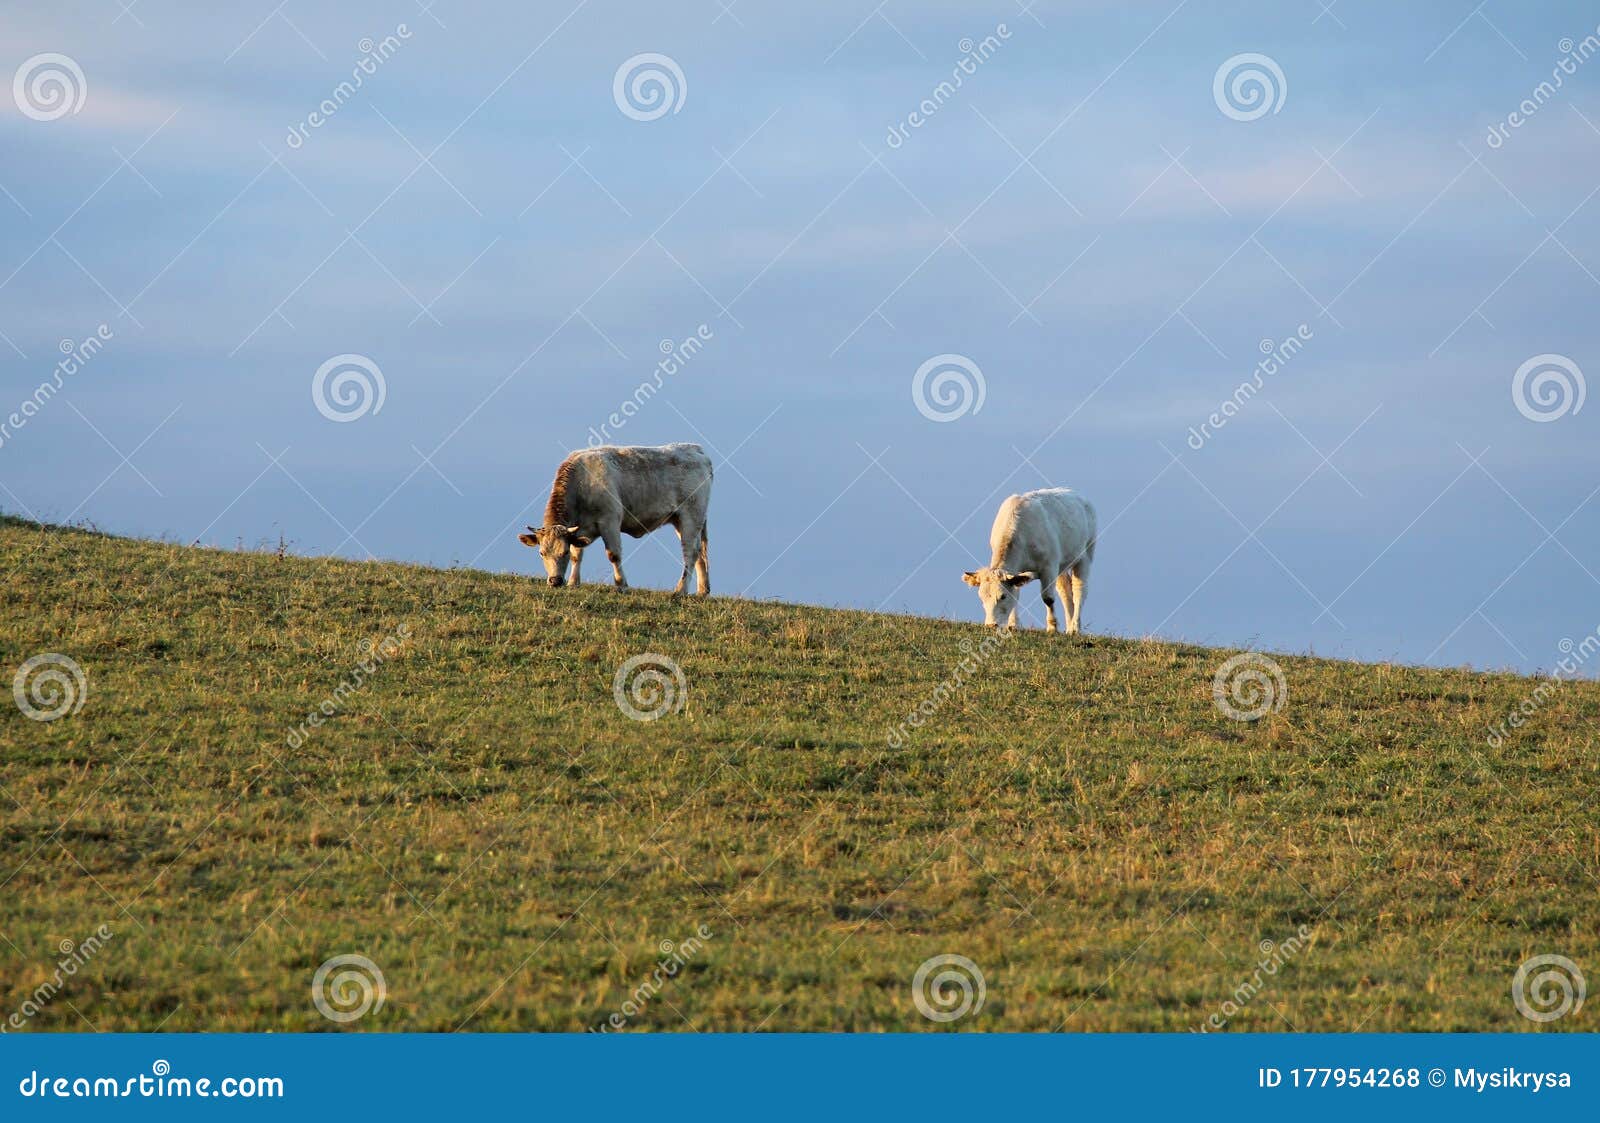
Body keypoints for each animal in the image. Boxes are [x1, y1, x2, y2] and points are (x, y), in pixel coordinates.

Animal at [520, 443, 712, 595]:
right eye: (541, 553)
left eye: (563, 552)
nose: (555, 581)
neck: (582, 484)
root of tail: (695, 448)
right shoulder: (577, 529)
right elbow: (577, 555)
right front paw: (573, 583)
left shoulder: (610, 521)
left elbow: (613, 555)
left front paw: (621, 585)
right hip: (683, 520)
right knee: (700, 551)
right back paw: (702, 591)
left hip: (691, 515)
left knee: (690, 552)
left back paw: (680, 590)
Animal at [961, 488, 1096, 633]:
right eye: (981, 597)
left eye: (1003, 596)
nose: (991, 625)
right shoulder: (1018, 572)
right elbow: (1016, 594)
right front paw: (1013, 624)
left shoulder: (1049, 566)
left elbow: (1048, 598)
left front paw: (1052, 627)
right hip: (1062, 565)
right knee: (1066, 592)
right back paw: (1070, 626)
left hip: (1085, 555)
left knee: (1079, 591)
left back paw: (1075, 628)